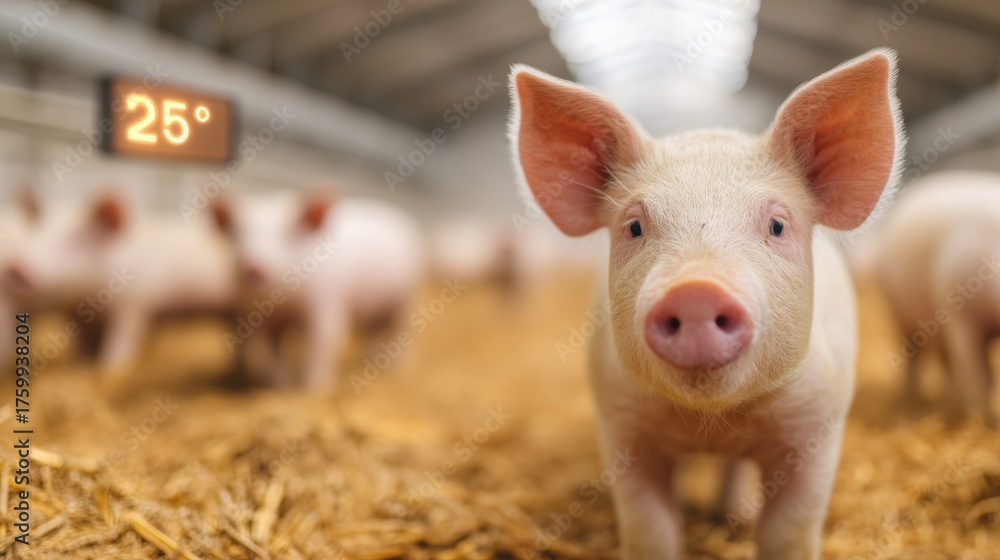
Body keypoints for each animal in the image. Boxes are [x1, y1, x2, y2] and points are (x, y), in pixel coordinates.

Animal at [2, 191, 237, 375]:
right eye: (34, 233)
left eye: (77, 241)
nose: (16, 268)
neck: (87, 299)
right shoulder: (76, 316)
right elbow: (82, 345)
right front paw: (79, 364)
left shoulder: (134, 303)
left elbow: (122, 340)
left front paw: (110, 368)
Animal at [210, 191, 425, 389]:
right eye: (237, 235)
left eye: (289, 235)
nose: (253, 267)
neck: (286, 303)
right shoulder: (270, 320)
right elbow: (274, 348)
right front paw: (277, 386)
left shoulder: (328, 299)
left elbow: (325, 336)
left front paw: (314, 388)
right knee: (373, 333)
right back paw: (368, 359)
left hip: (410, 295)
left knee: (405, 331)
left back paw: (401, 368)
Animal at [508, 48, 904, 559]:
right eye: (634, 226)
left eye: (777, 225)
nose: (695, 290)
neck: (714, 424)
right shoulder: (620, 424)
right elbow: (650, 531)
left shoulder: (819, 424)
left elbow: (791, 532)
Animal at [870, 170, 1000, 427]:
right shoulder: (962, 316)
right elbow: (981, 373)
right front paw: (986, 420)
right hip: (901, 314)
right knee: (914, 356)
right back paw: (917, 398)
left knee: (943, 359)